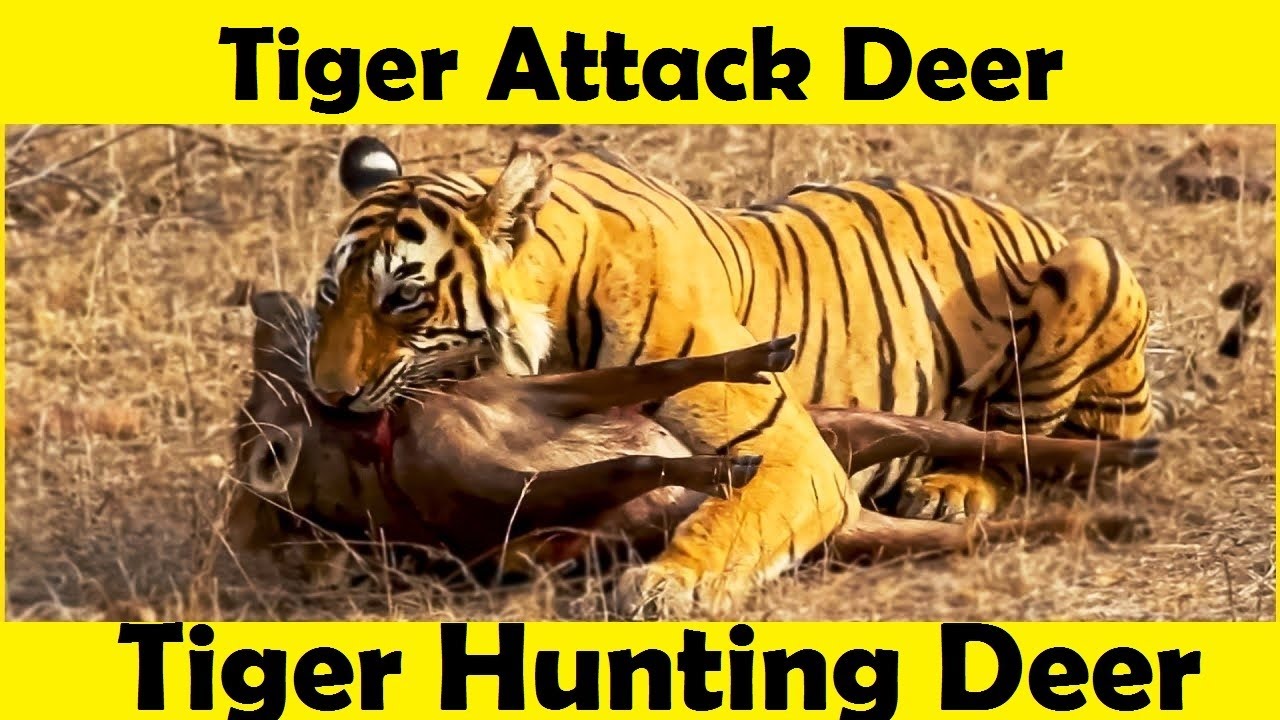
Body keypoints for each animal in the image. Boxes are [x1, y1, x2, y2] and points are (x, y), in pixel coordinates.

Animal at [305, 135, 1157, 615]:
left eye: (404, 296)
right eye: (327, 293)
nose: (328, 397)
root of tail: (1024, 214)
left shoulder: (795, 456)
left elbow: (731, 513)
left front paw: (670, 584)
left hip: (1091, 260)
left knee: (1031, 439)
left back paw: (956, 489)